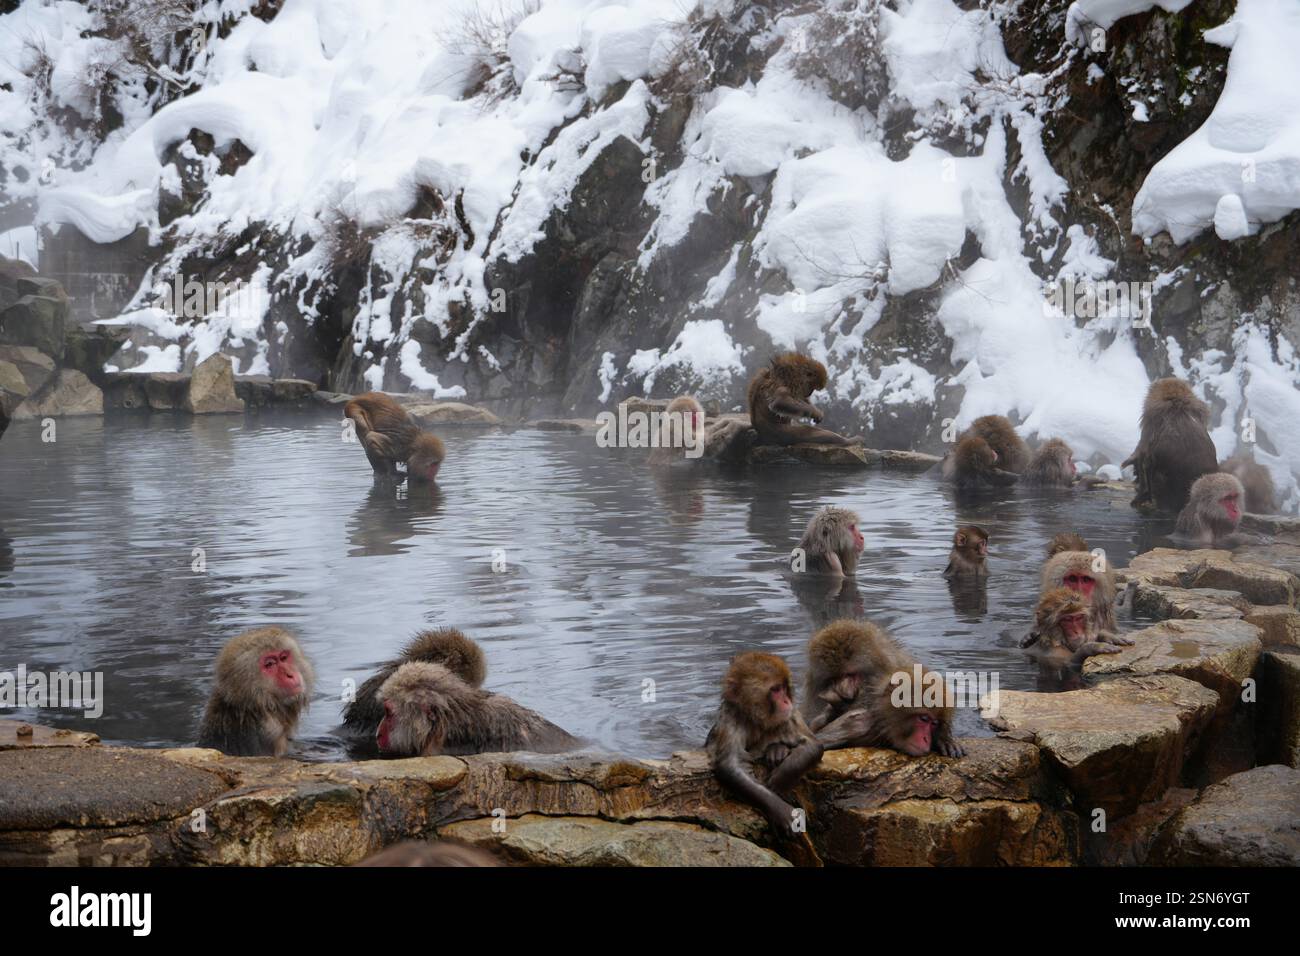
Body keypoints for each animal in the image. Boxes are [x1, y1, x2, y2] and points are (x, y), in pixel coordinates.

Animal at [705, 652, 824, 837]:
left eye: (784, 688)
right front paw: (781, 809)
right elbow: (731, 765)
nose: (787, 701)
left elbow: (812, 744)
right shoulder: (731, 719)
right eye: (775, 689)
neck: (758, 720)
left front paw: (781, 779)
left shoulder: (789, 715)